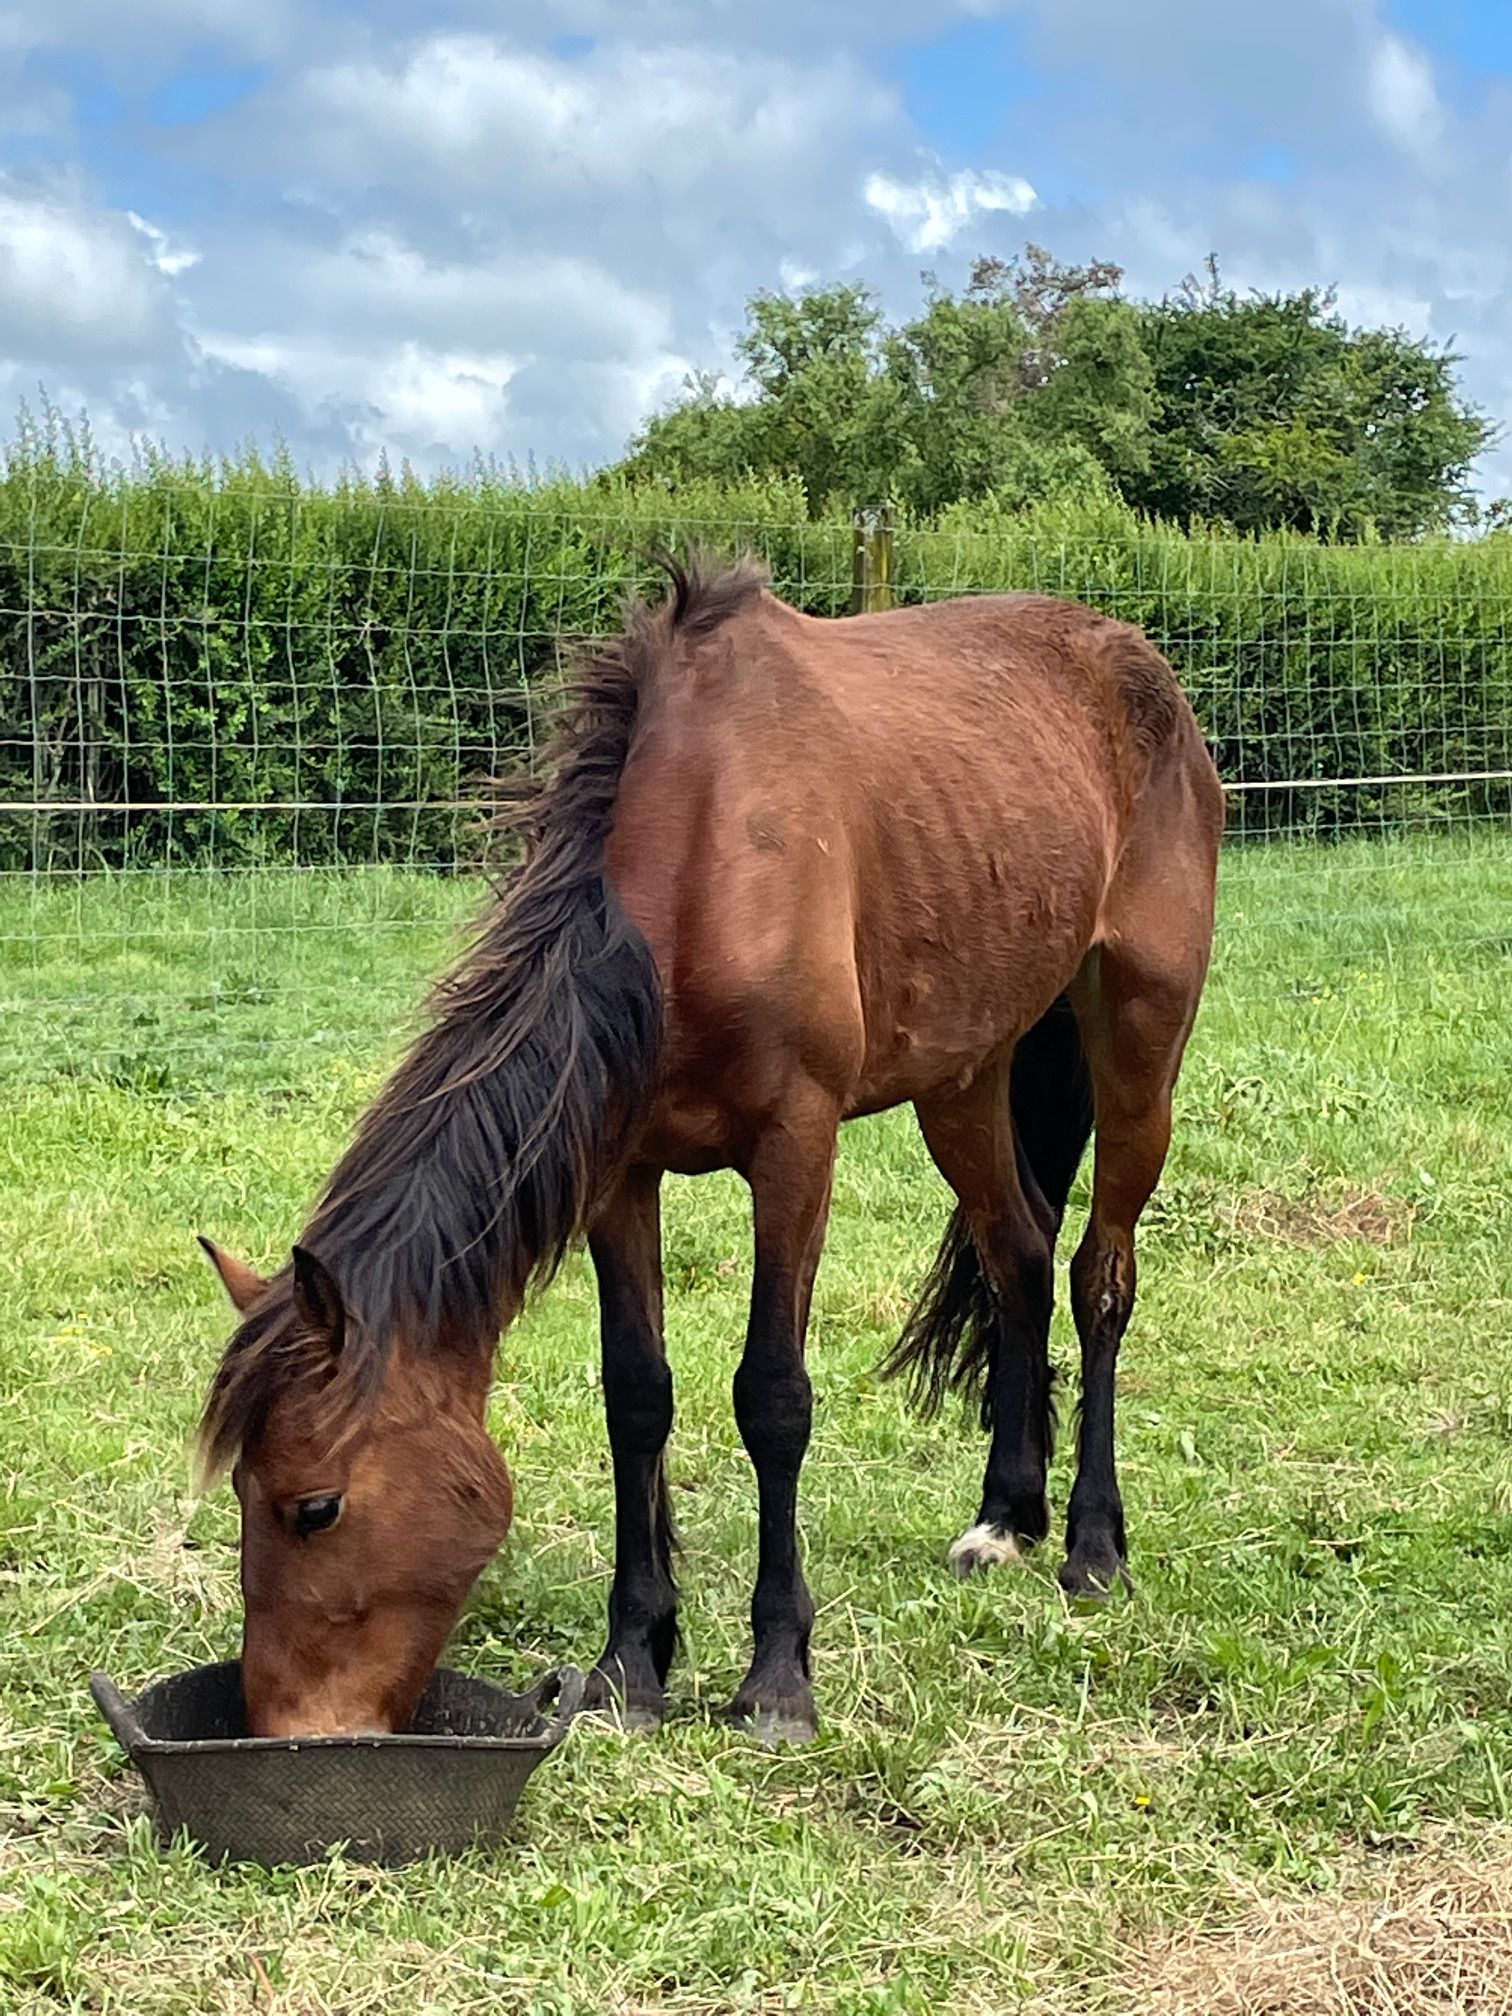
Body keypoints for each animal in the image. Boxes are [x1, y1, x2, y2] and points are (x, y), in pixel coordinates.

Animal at [196, 555, 1224, 1743]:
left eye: (315, 1506)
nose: (284, 1726)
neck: (701, 873)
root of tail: (1142, 665)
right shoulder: (618, 1175)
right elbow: (636, 1395)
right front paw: (631, 1661)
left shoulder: (795, 1150)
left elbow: (772, 1399)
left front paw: (777, 1675)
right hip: (964, 1077)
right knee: (1016, 1259)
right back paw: (1005, 1518)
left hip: (1140, 1041)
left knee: (1101, 1276)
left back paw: (1093, 1548)